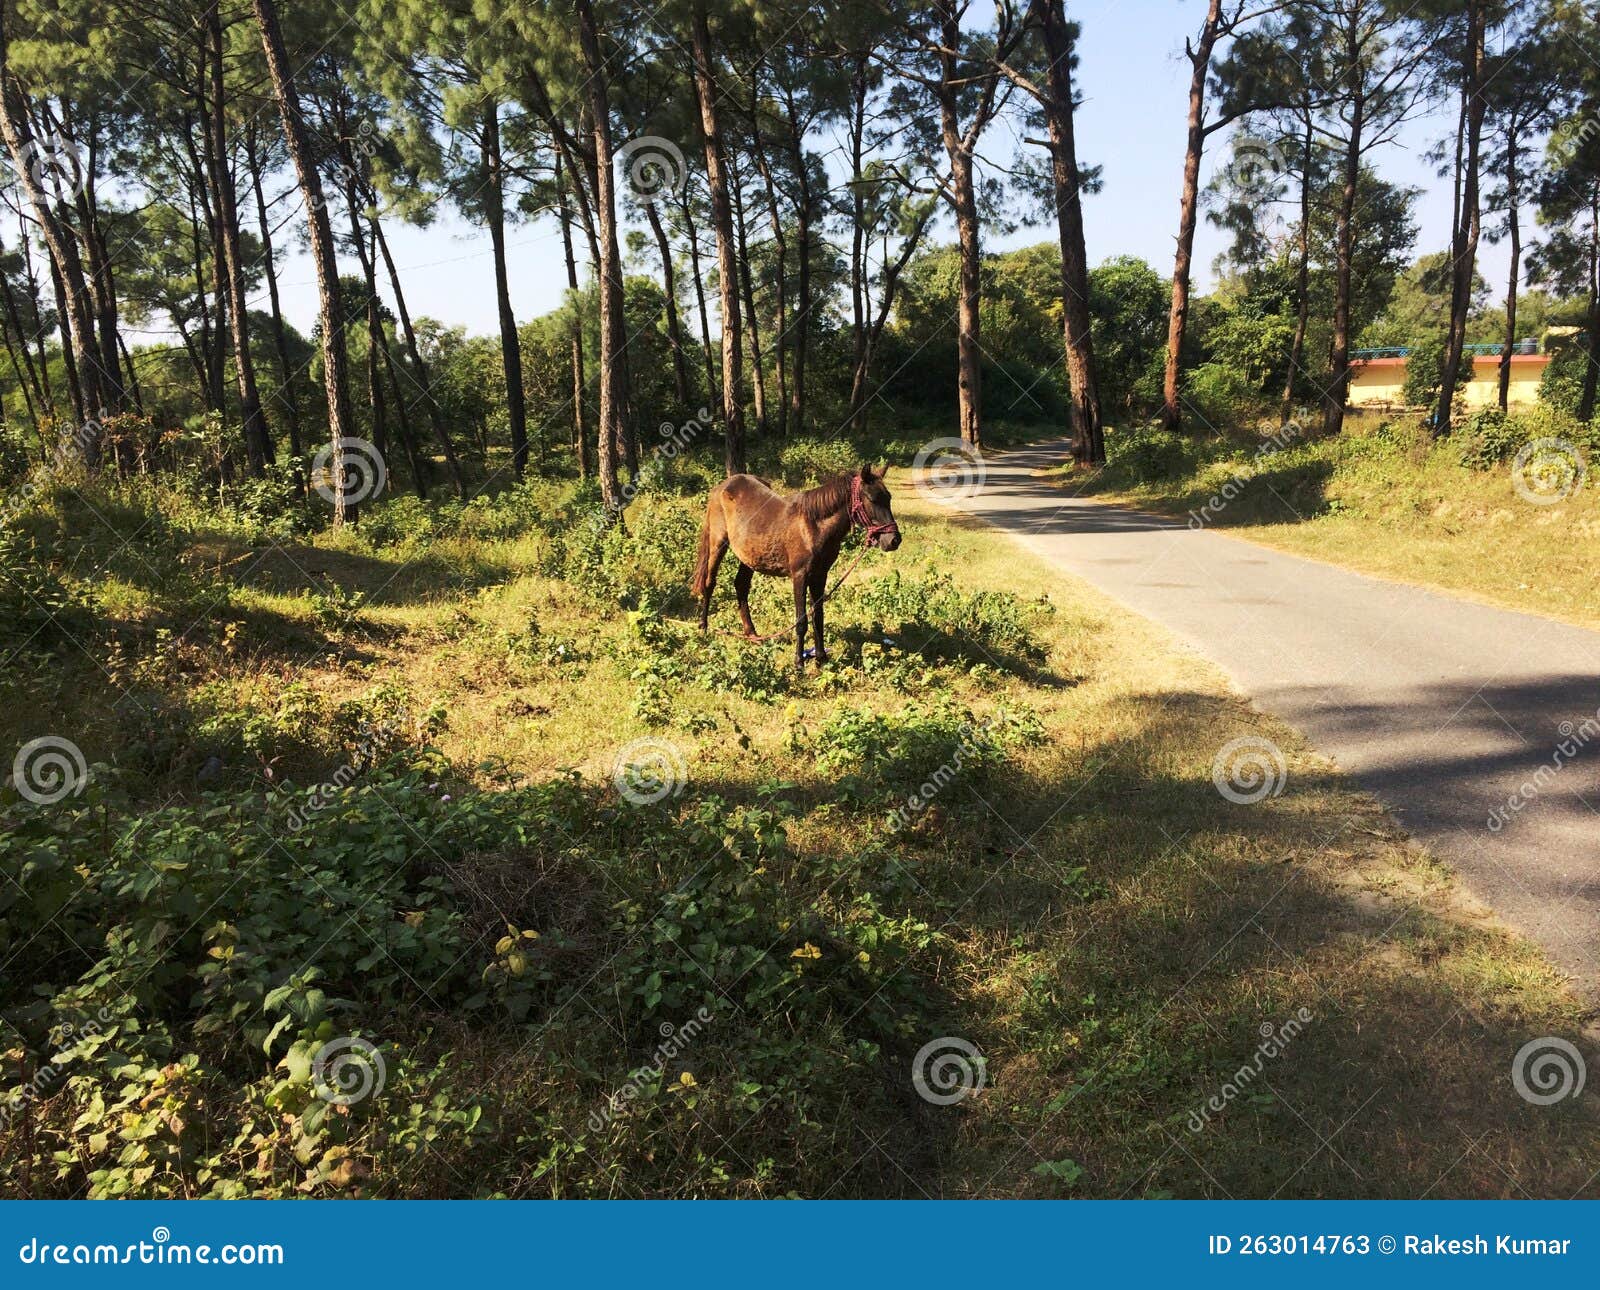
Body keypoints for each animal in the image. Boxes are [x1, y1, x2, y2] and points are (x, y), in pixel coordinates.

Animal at [691, 464, 902, 670]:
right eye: (872, 499)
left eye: (889, 498)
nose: (894, 540)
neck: (813, 526)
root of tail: (721, 487)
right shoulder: (800, 576)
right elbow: (802, 621)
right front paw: (799, 663)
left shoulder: (820, 576)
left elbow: (818, 616)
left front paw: (821, 659)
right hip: (718, 543)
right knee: (709, 583)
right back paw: (703, 627)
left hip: (749, 556)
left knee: (741, 585)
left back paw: (752, 634)